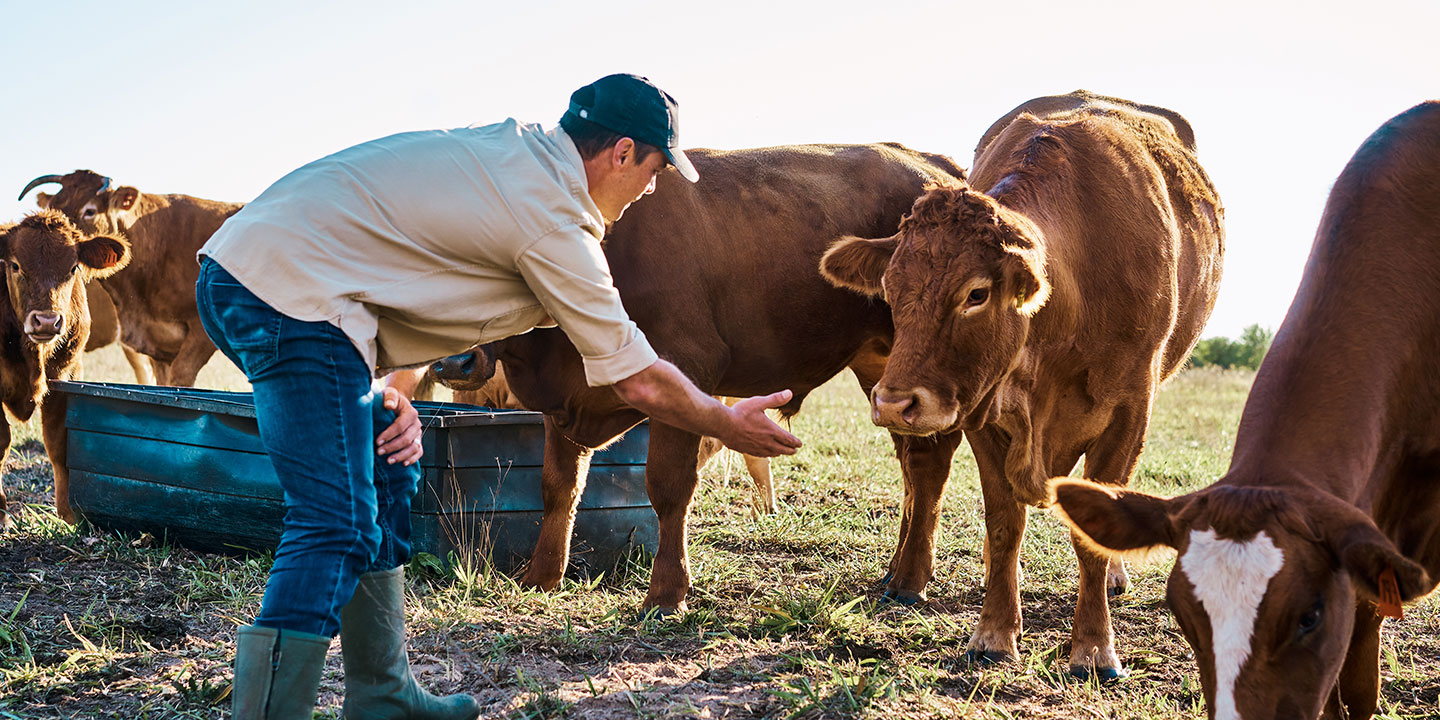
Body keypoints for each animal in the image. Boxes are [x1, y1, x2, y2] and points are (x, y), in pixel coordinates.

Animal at [0, 210, 131, 527]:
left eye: (73, 268)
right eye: (15, 265)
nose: (46, 321)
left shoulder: (64, 376)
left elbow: (59, 441)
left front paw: (69, 512)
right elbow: (1, 442)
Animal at [486, 143, 967, 610]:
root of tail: (932, 165)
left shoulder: (686, 365)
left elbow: (668, 487)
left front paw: (666, 593)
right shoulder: (563, 406)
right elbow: (558, 487)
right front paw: (541, 577)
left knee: (926, 465)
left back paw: (909, 581)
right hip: (882, 373)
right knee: (910, 463)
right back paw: (895, 570)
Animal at [823, 92, 1226, 676]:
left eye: (976, 293)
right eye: (891, 289)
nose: (896, 404)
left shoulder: (1130, 412)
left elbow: (1093, 536)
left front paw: (1094, 648)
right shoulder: (983, 412)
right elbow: (1004, 520)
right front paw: (994, 632)